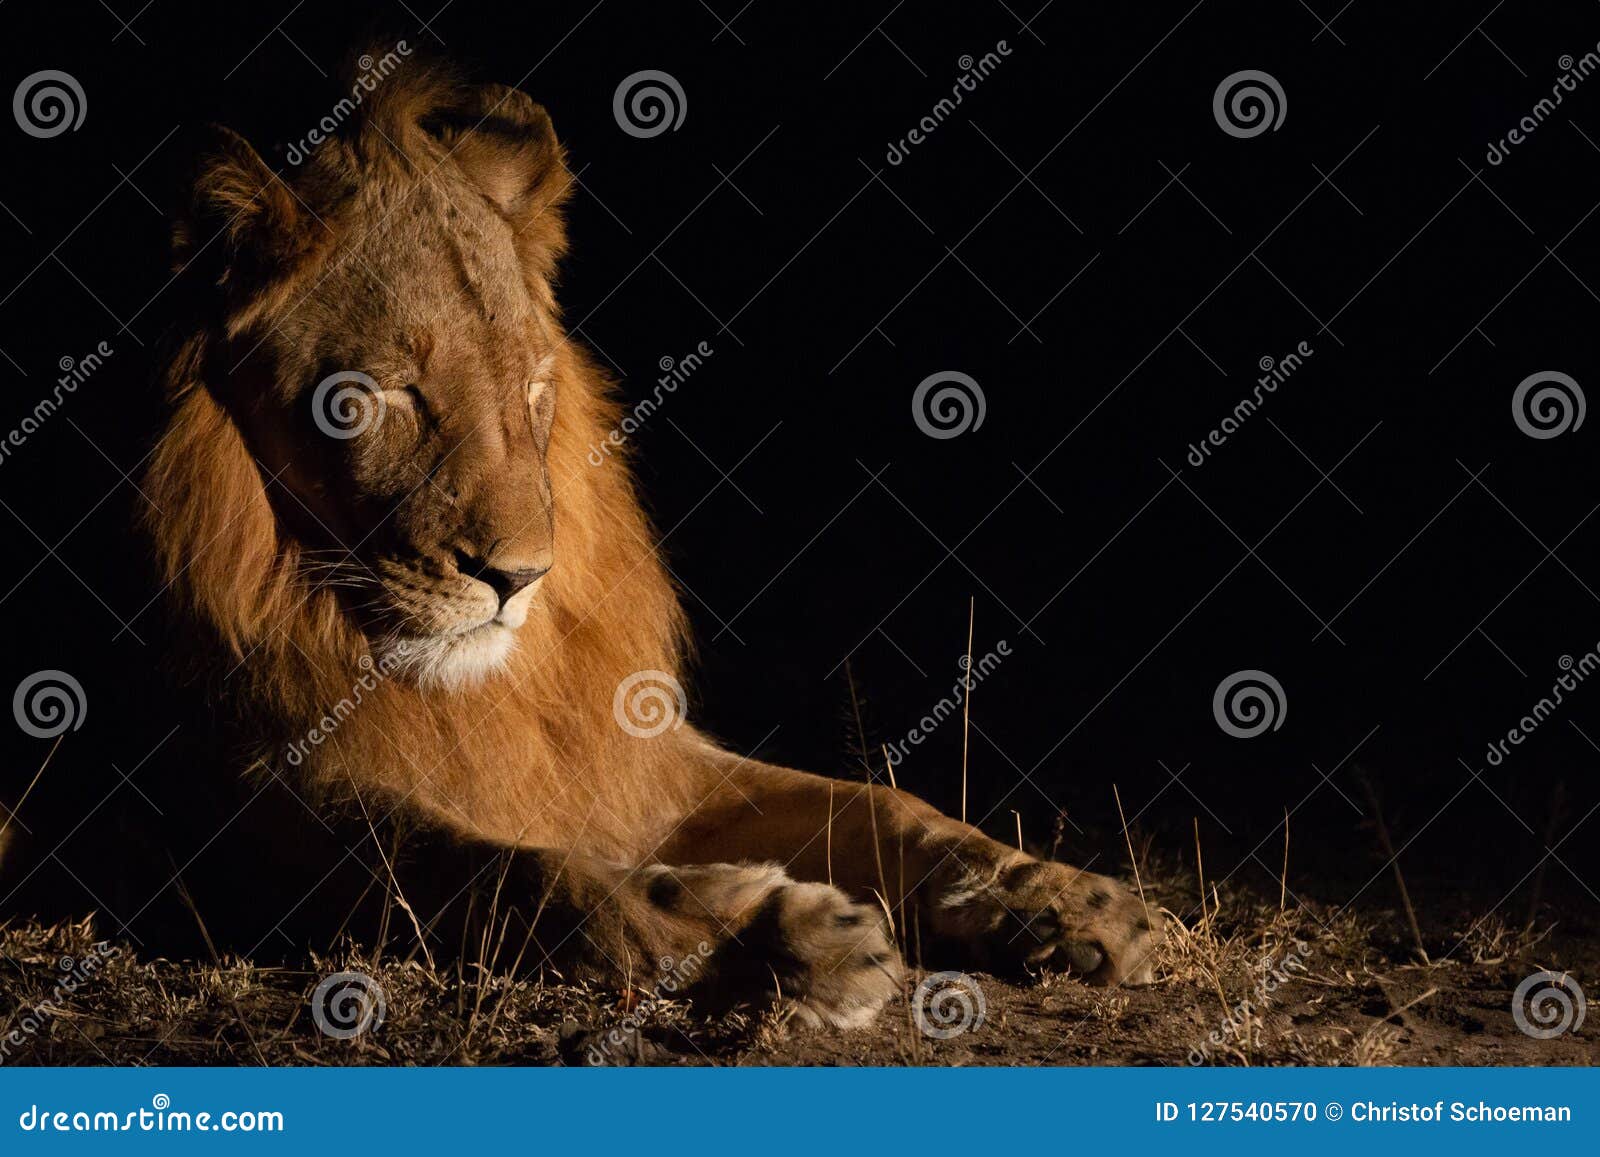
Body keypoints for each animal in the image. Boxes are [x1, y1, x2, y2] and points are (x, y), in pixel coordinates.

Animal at [136, 54, 1161, 1032]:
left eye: (531, 388)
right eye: (378, 395)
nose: (517, 578)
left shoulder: (640, 758)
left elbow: (881, 802)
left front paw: (1063, 897)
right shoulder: (225, 808)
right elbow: (494, 865)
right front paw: (784, 931)